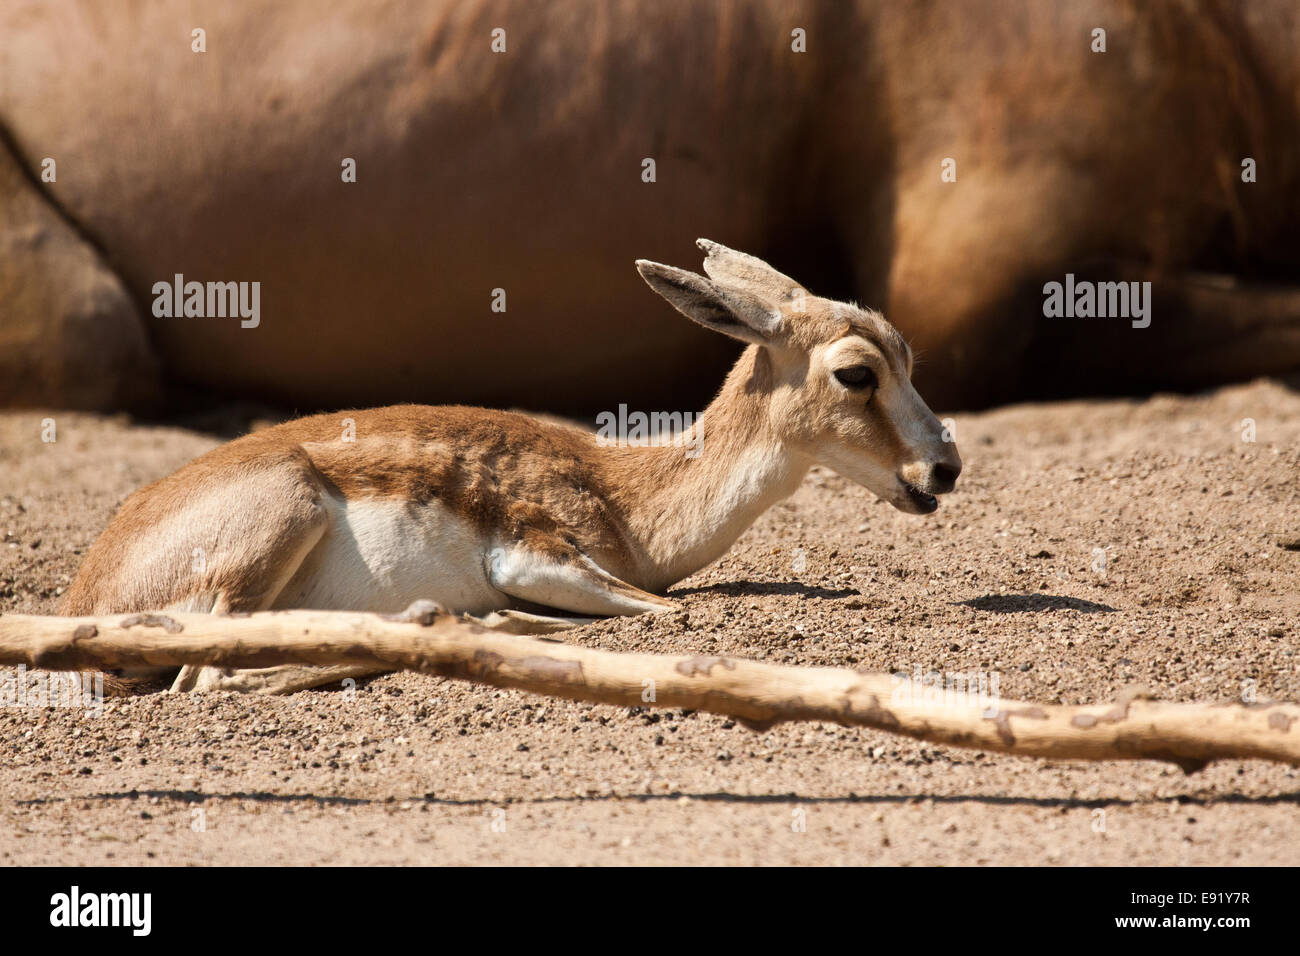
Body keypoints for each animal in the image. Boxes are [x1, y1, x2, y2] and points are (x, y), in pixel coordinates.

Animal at [61, 241, 962, 694]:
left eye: (908, 355)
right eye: (857, 373)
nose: (943, 469)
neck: (623, 495)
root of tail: (90, 592)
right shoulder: (533, 558)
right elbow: (665, 613)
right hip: (284, 522)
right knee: (208, 678)